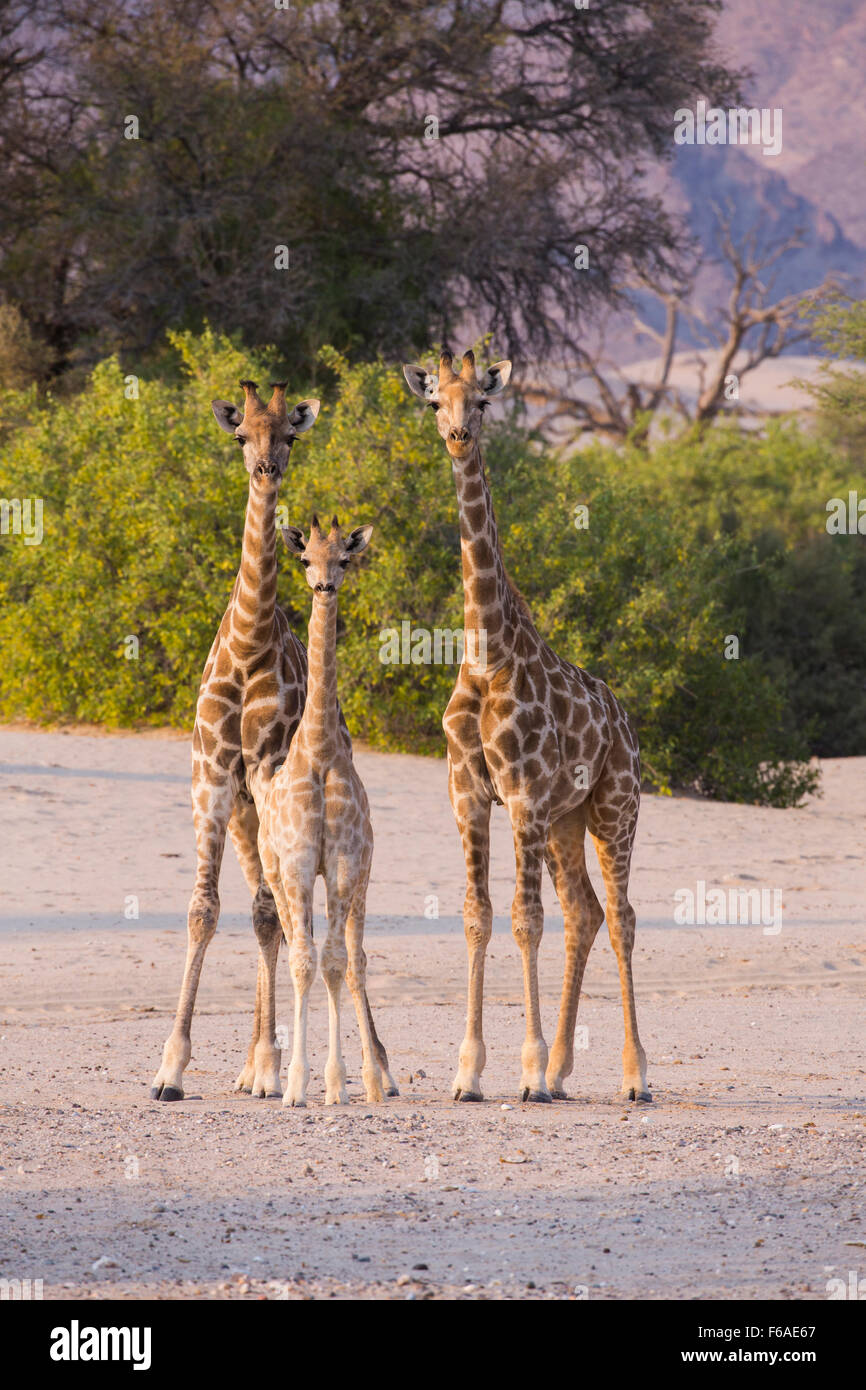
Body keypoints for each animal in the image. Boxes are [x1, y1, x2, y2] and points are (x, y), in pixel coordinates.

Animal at [150, 380, 394, 1106]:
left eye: (290, 434)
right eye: (241, 435)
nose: (267, 470)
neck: (249, 640)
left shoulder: (263, 771)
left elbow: (271, 917)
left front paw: (269, 1065)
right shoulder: (210, 776)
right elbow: (204, 910)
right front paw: (170, 1069)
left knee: (309, 925)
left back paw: (354, 1065)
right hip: (243, 811)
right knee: (268, 913)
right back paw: (261, 1063)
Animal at [403, 350, 647, 1106]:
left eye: (482, 400)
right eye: (434, 402)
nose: (457, 437)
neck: (487, 652)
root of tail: (628, 726)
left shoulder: (524, 796)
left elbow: (523, 919)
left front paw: (528, 1068)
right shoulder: (469, 793)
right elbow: (479, 915)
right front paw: (469, 1072)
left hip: (614, 809)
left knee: (621, 916)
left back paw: (633, 1075)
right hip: (568, 823)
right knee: (585, 913)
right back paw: (567, 1070)